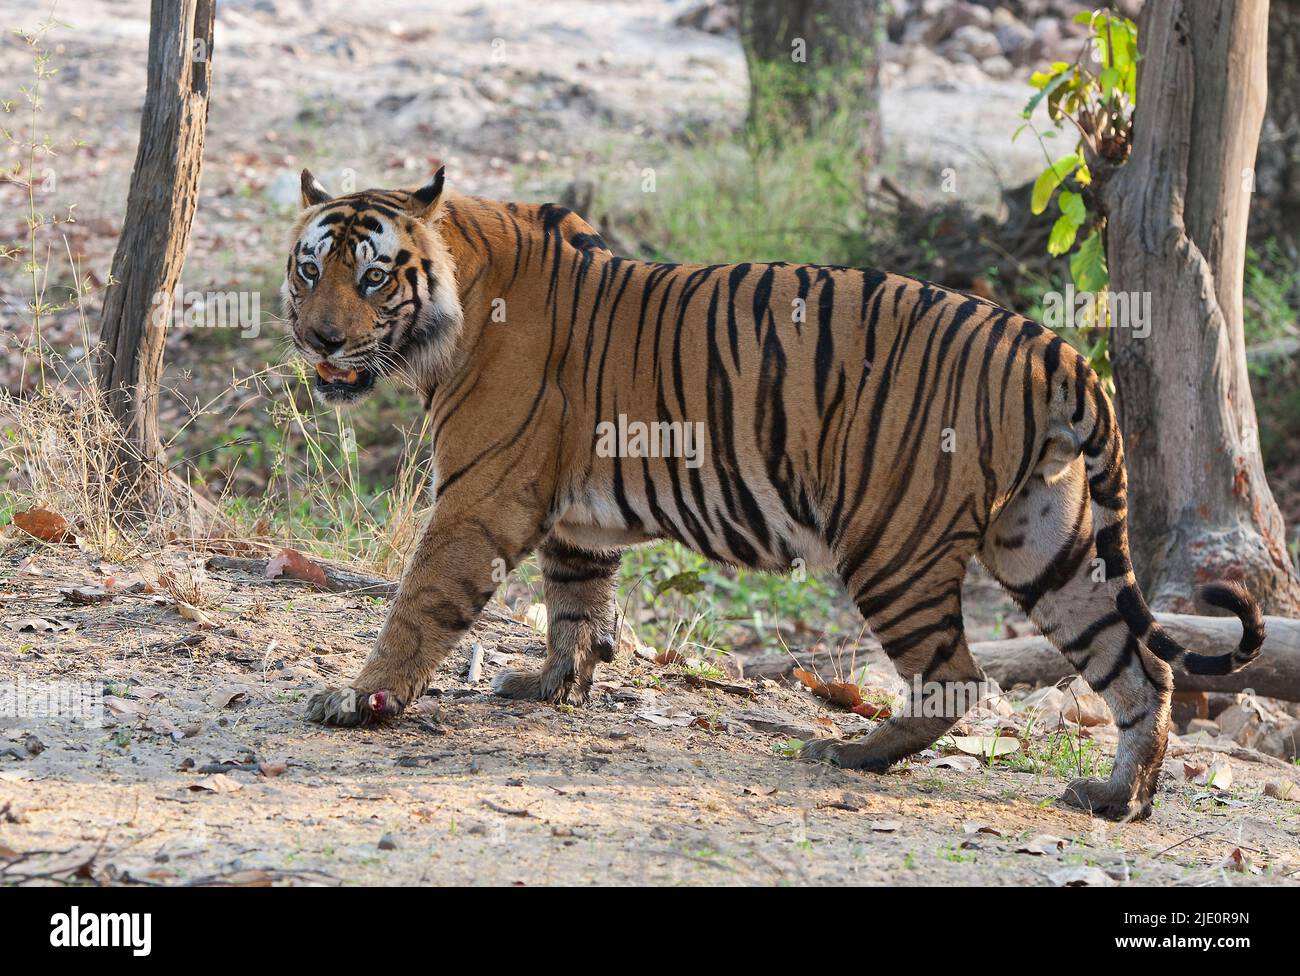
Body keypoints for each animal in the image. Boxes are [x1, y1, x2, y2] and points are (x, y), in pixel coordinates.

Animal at [284, 167, 1264, 822]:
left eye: (372, 276)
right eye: (307, 269)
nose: (317, 338)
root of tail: (1051, 345)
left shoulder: (481, 497)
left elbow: (420, 606)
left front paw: (360, 700)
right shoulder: (572, 517)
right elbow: (575, 606)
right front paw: (550, 685)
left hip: (892, 542)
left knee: (957, 677)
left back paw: (852, 752)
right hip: (1048, 543)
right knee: (1137, 665)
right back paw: (1117, 796)